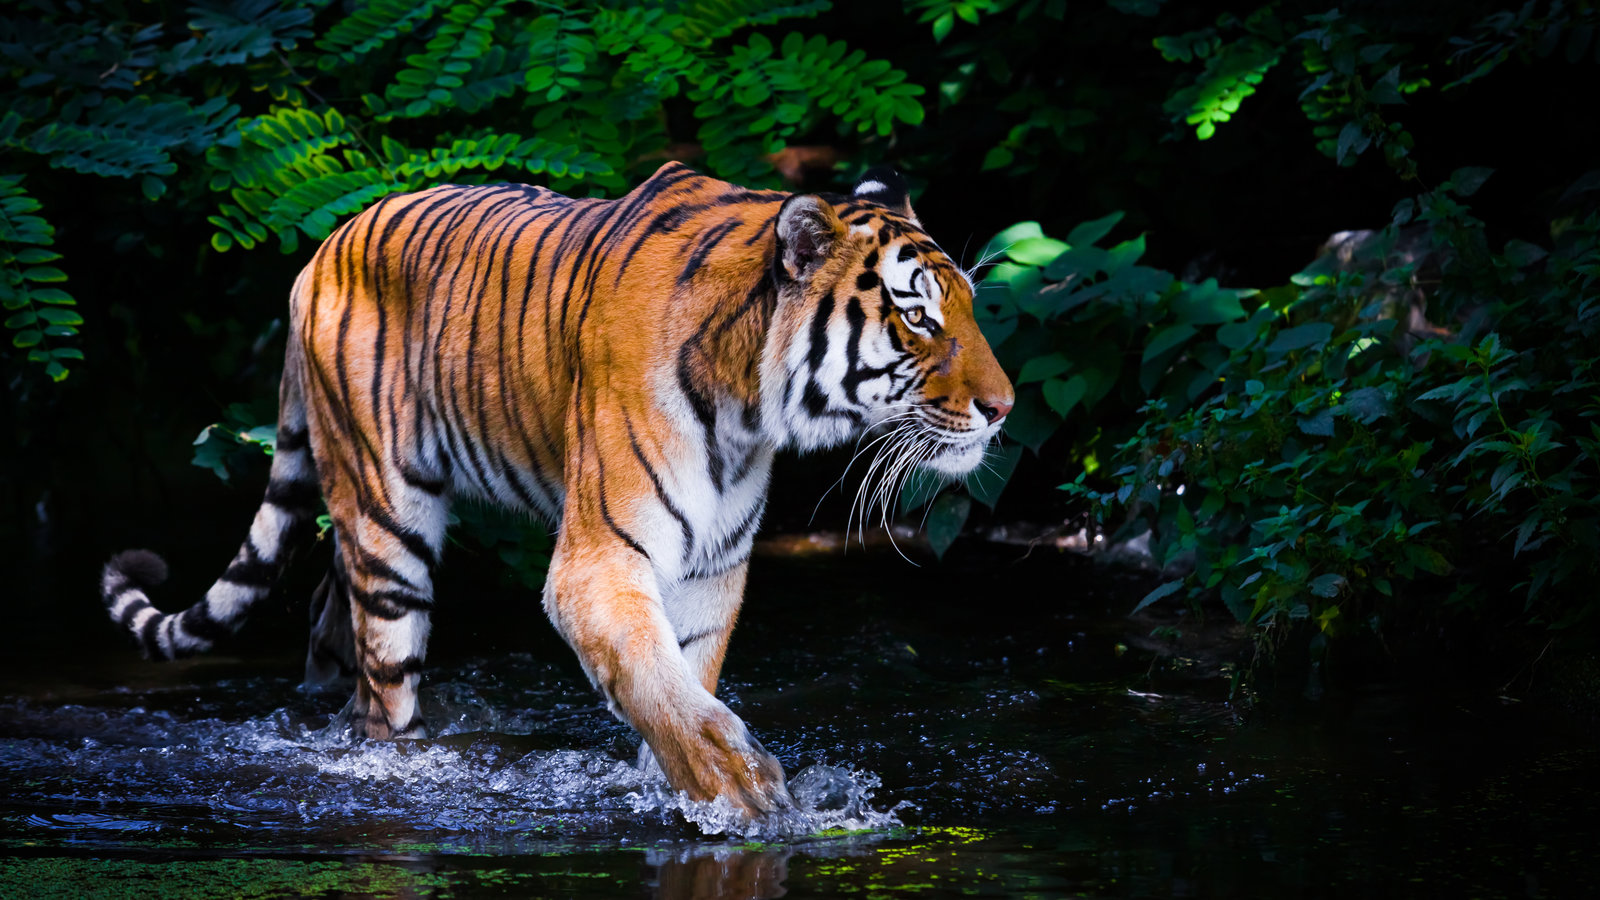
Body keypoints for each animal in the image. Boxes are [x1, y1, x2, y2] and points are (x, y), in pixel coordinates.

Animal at [100, 162, 1014, 818]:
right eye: (919, 318)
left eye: (969, 306)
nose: (1003, 409)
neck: (749, 405)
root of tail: (319, 251)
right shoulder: (600, 560)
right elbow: (659, 685)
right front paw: (735, 783)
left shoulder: (712, 570)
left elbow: (679, 678)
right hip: (387, 521)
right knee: (386, 685)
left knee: (335, 627)